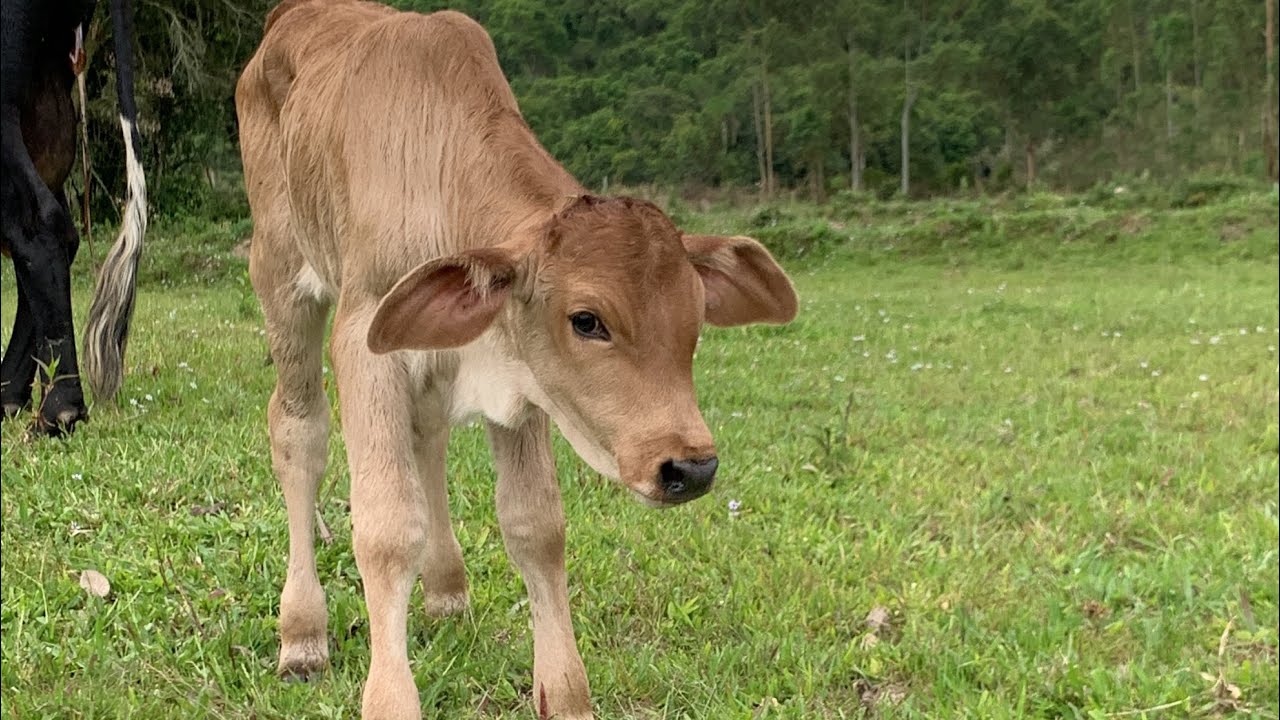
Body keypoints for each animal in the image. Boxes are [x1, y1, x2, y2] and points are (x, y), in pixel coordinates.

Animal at [235, 2, 797, 717]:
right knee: (297, 432)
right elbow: (386, 526)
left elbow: (536, 526)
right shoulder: (366, 341)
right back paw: (302, 632)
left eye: (696, 317)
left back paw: (447, 591)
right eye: (586, 320)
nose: (691, 468)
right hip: (281, 278)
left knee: (429, 439)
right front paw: (388, 694)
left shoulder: (520, 378)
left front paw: (567, 692)